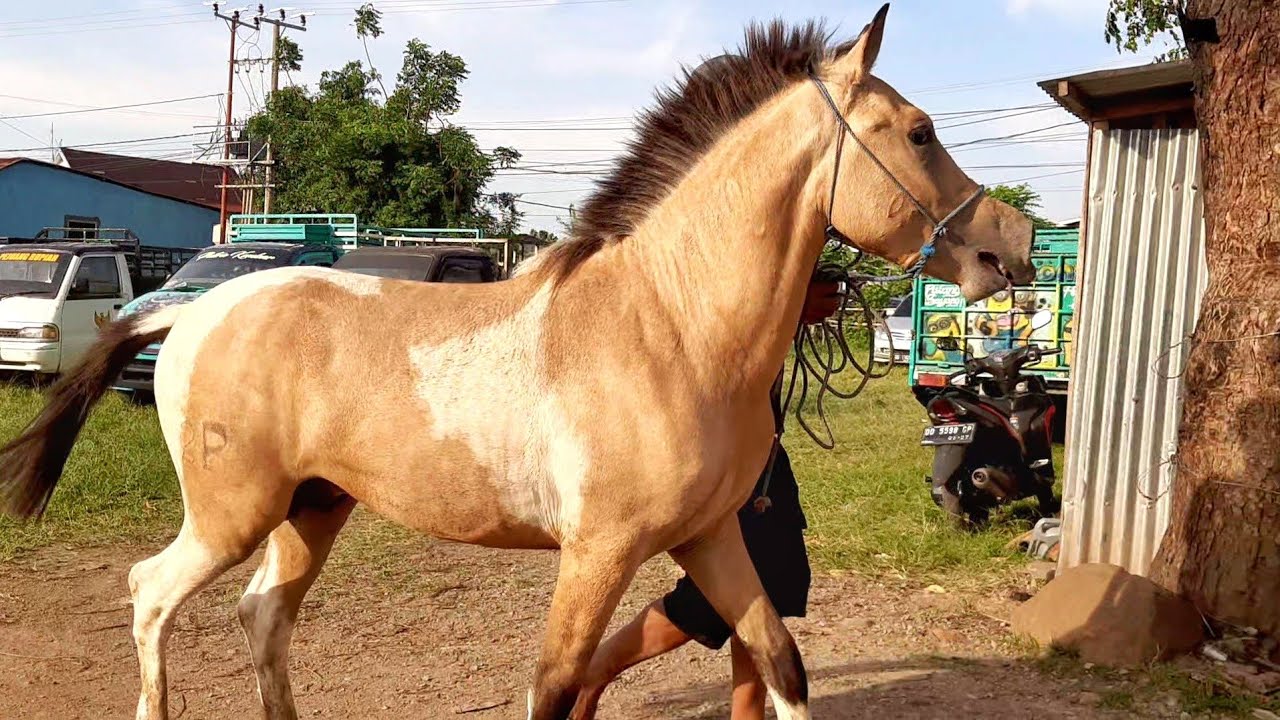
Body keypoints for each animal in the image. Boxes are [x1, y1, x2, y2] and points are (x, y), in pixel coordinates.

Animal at [0, 5, 1033, 719]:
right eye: (921, 131)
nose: (1012, 245)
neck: (668, 325)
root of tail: (187, 313)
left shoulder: (711, 539)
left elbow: (780, 663)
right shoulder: (598, 552)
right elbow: (554, 686)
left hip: (312, 509)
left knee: (264, 618)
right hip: (233, 515)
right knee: (151, 596)